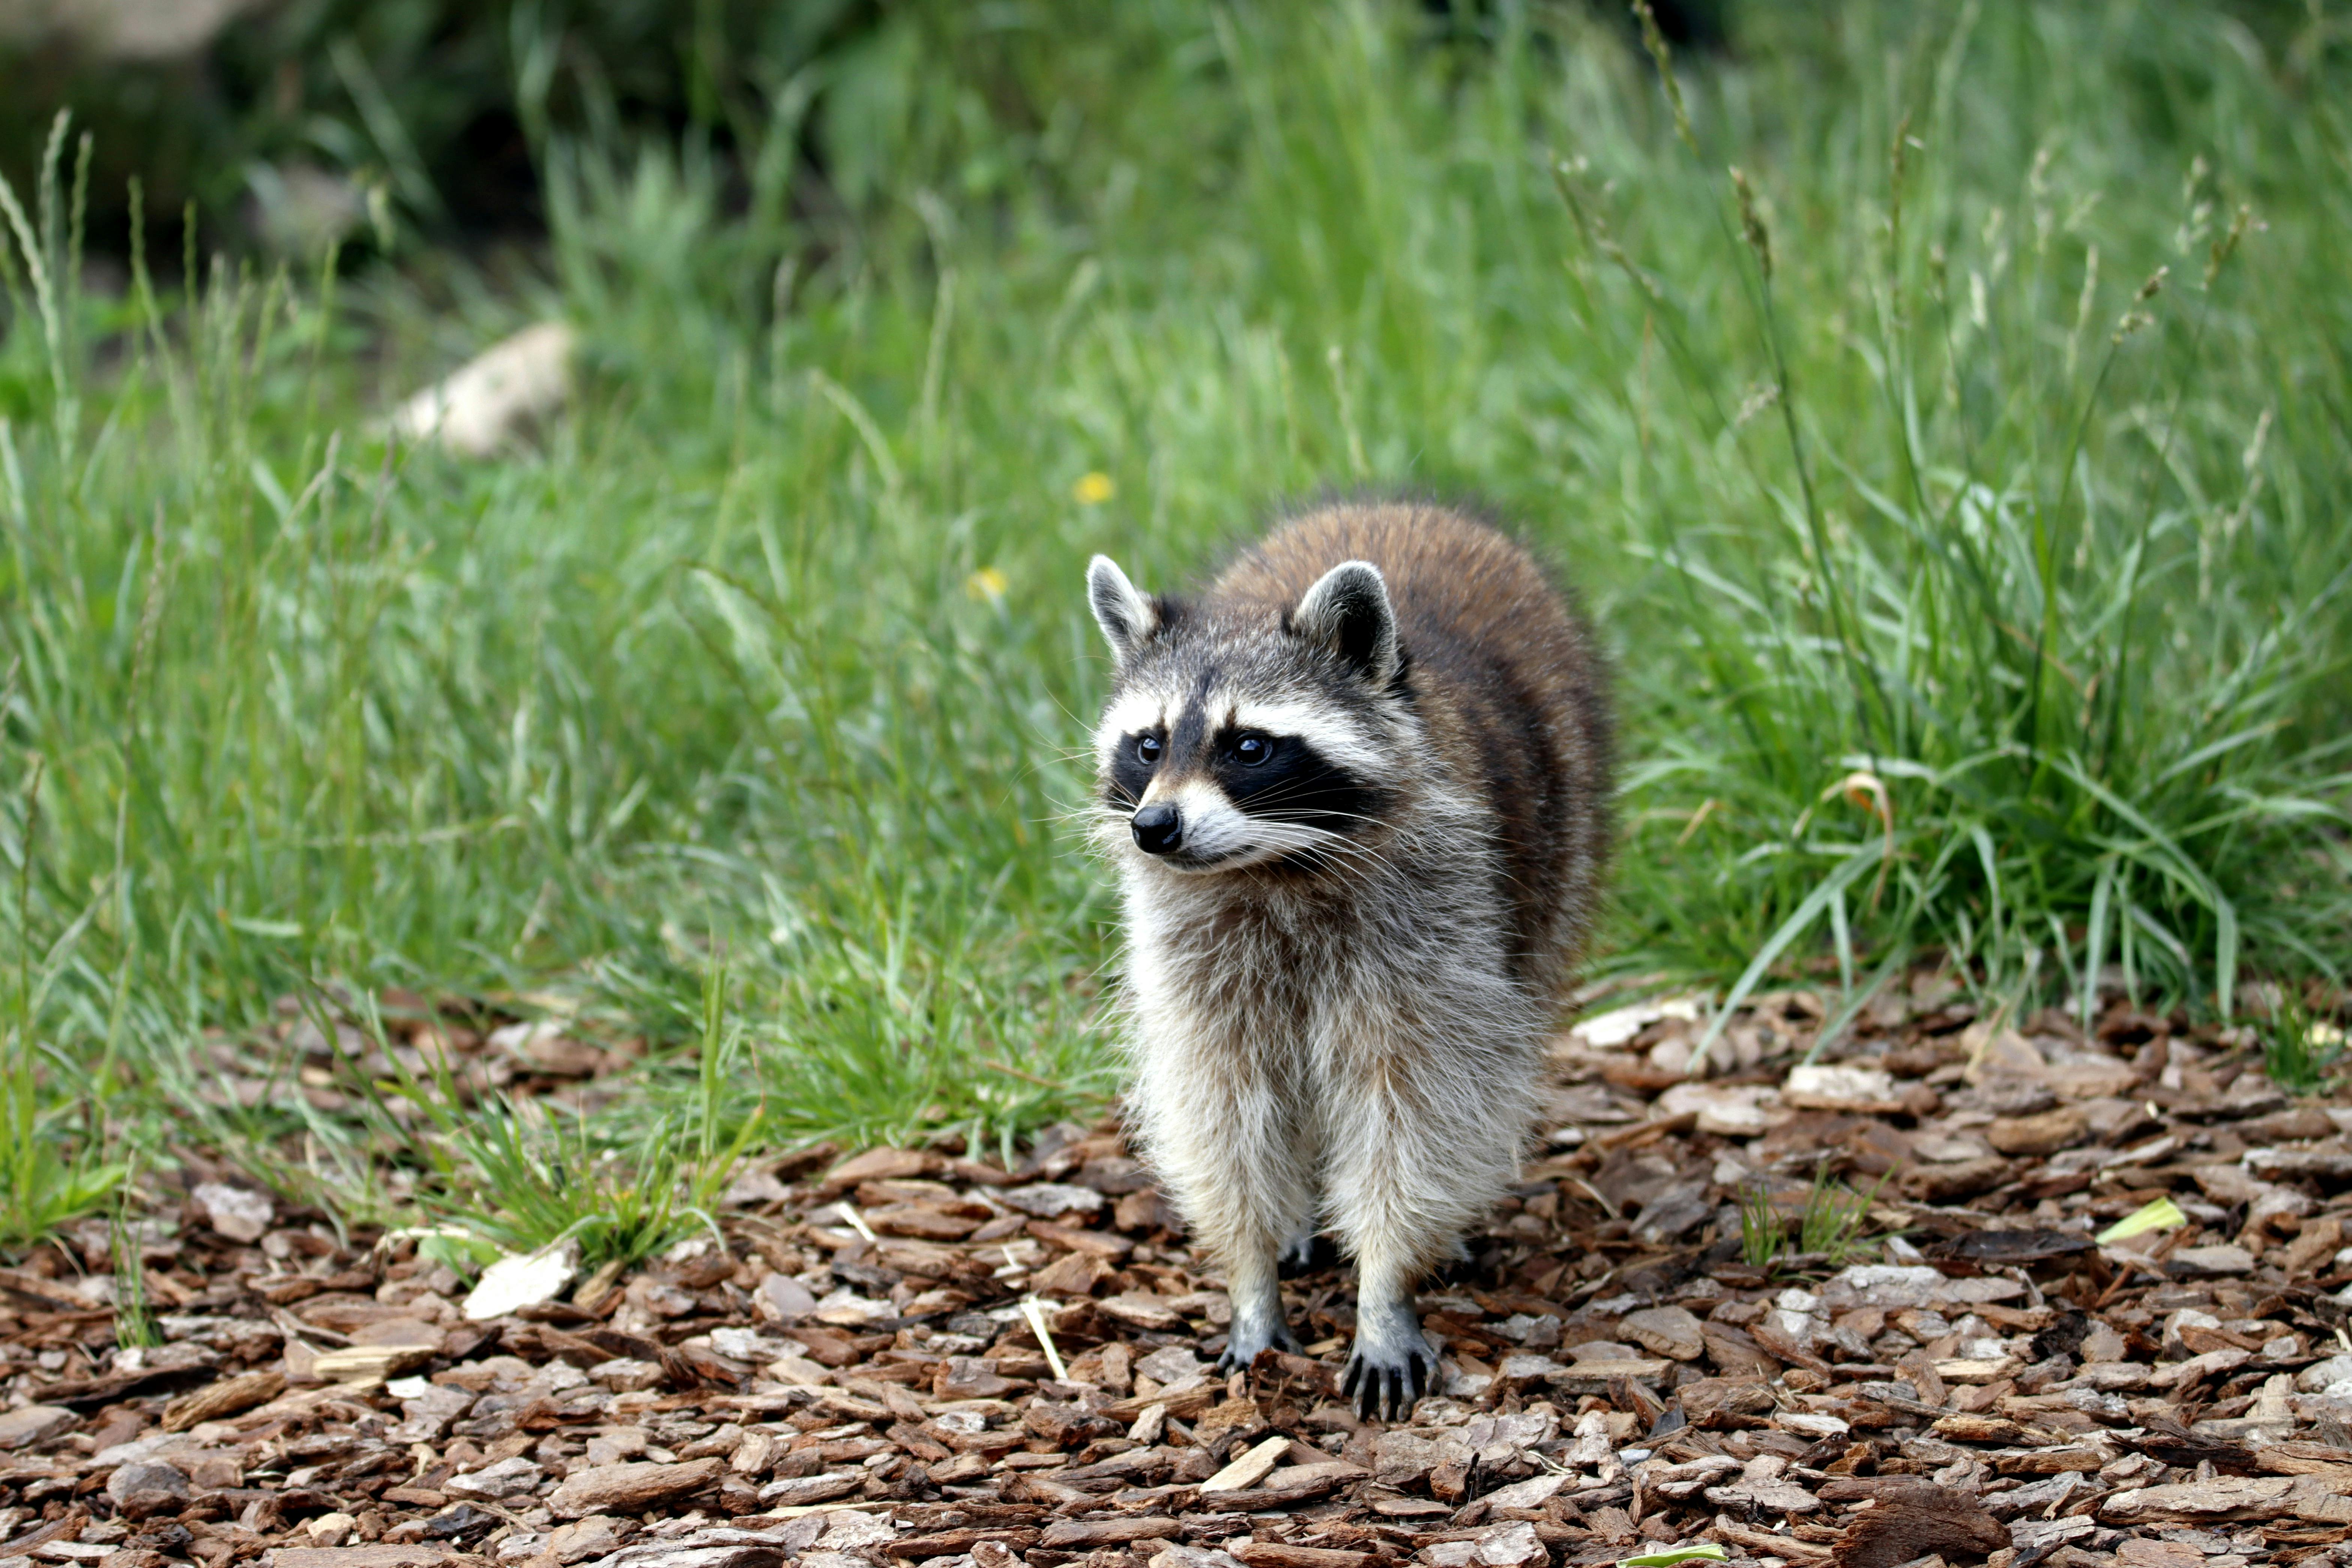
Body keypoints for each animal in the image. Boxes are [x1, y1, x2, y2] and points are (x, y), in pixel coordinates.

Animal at [1083, 499, 1611, 1418]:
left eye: (1249, 747)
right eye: (1149, 745)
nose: (1154, 828)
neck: (1271, 867)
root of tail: (1402, 504)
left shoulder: (1438, 926)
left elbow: (1417, 1107)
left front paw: (1385, 1286)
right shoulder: (1192, 952)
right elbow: (1219, 1108)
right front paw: (1251, 1276)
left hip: (1555, 850)